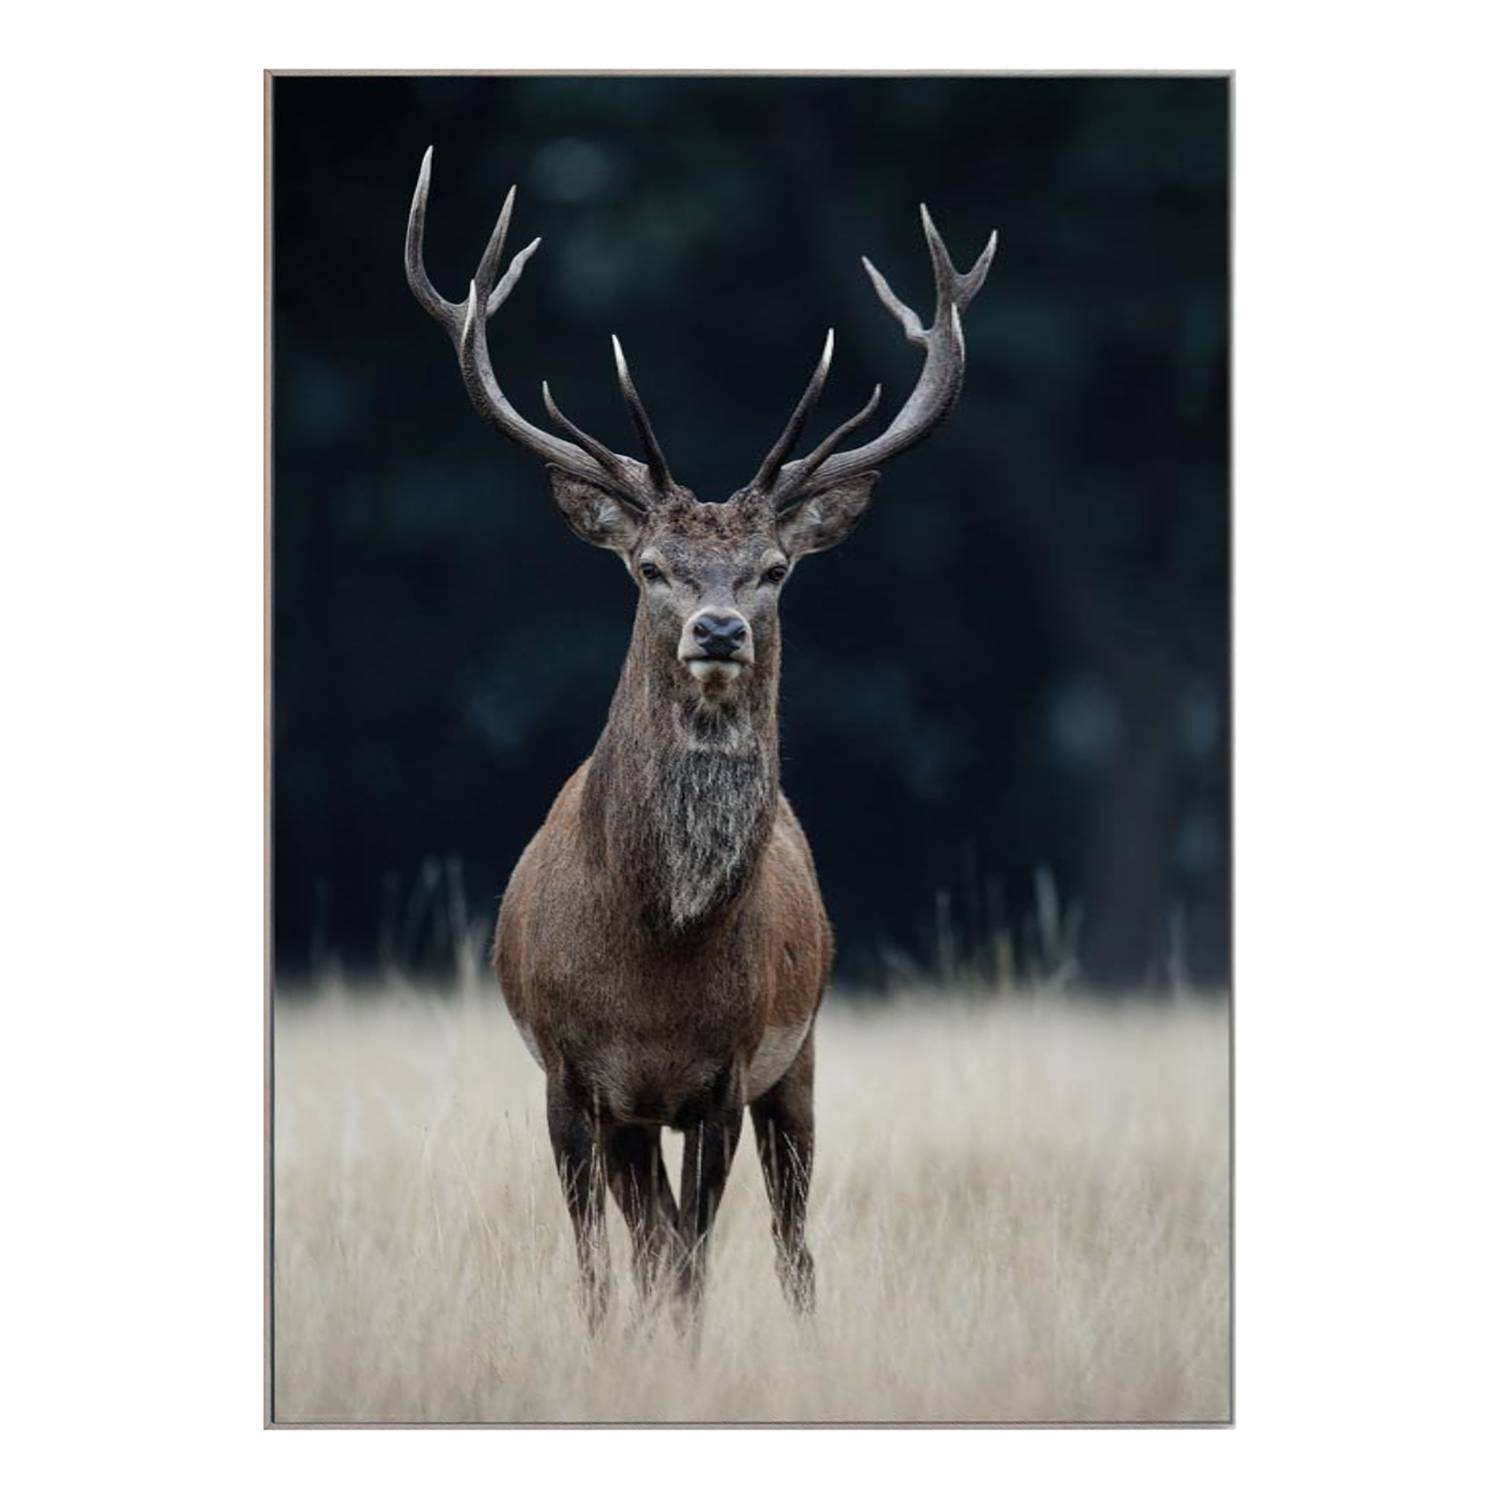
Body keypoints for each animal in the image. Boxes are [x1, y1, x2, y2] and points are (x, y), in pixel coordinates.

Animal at [405, 147, 996, 1326]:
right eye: (649, 568)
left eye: (774, 569)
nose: (719, 628)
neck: (657, 956)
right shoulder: (572, 1079)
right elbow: (606, 1266)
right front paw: (608, 1345)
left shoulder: (726, 1074)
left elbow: (692, 1263)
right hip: (645, 1116)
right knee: (648, 1239)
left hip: (801, 1058)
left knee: (791, 1242)